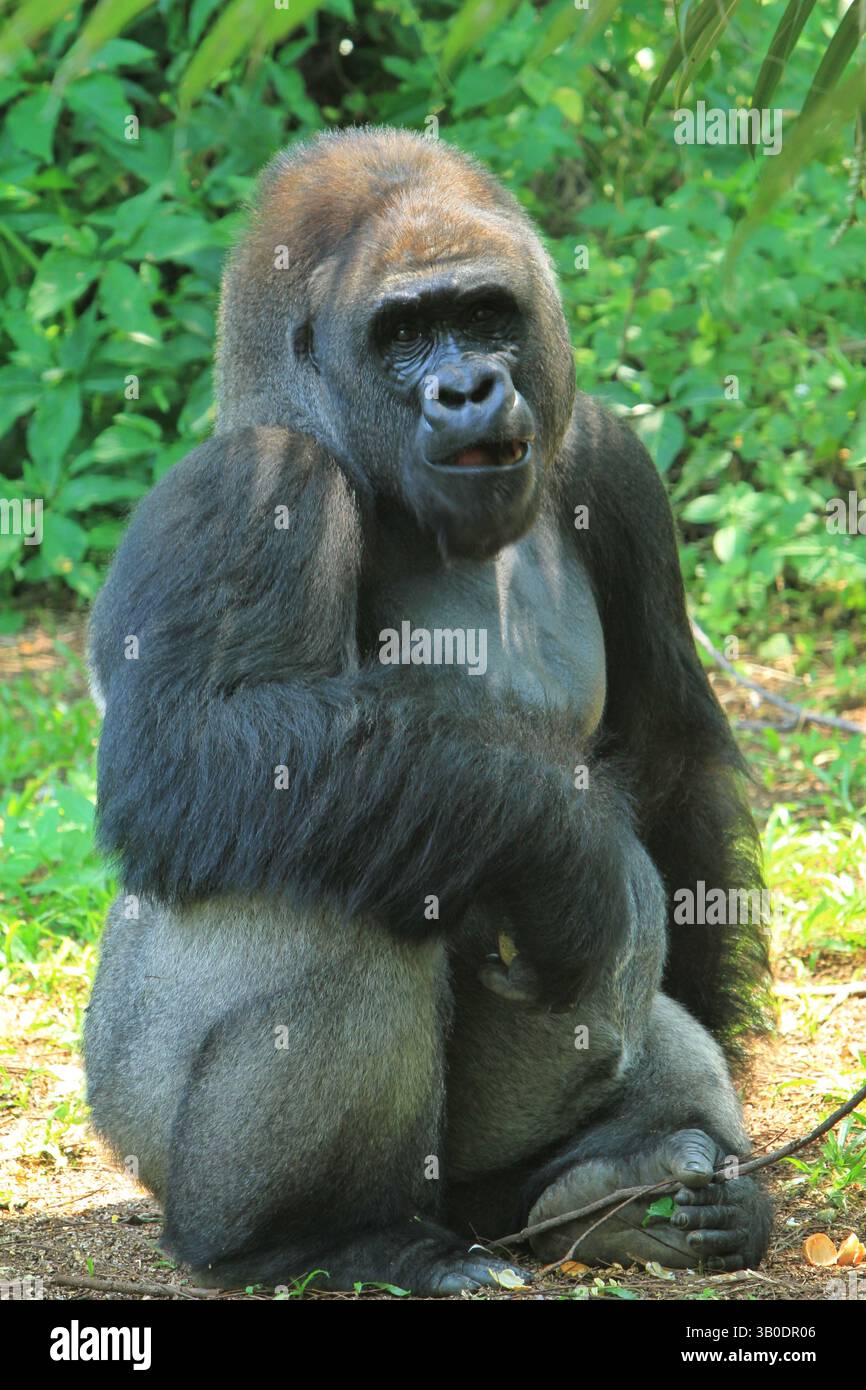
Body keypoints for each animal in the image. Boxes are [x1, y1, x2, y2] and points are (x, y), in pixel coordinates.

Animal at [84, 127, 771, 1294]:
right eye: (403, 333)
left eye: (485, 314)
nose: (465, 388)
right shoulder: (252, 481)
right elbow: (192, 759)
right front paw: (567, 853)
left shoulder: (611, 458)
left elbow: (670, 755)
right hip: (145, 1131)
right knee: (332, 870)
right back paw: (315, 1236)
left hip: (487, 1177)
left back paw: (611, 1191)